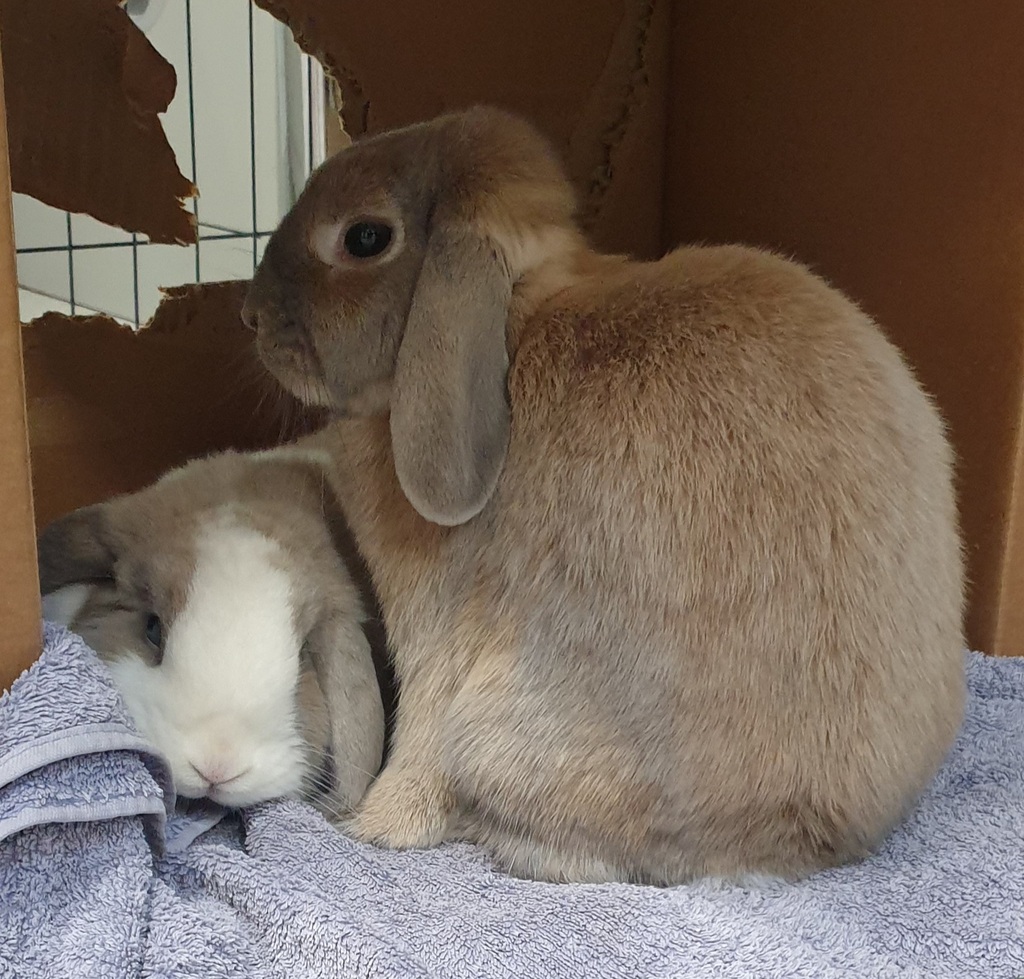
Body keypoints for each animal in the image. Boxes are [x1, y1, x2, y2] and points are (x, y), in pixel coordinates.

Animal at [240, 104, 967, 885]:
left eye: (365, 238)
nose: (249, 315)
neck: (511, 326)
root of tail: (801, 834)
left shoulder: (436, 637)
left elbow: (420, 740)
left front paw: (371, 826)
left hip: (505, 727)